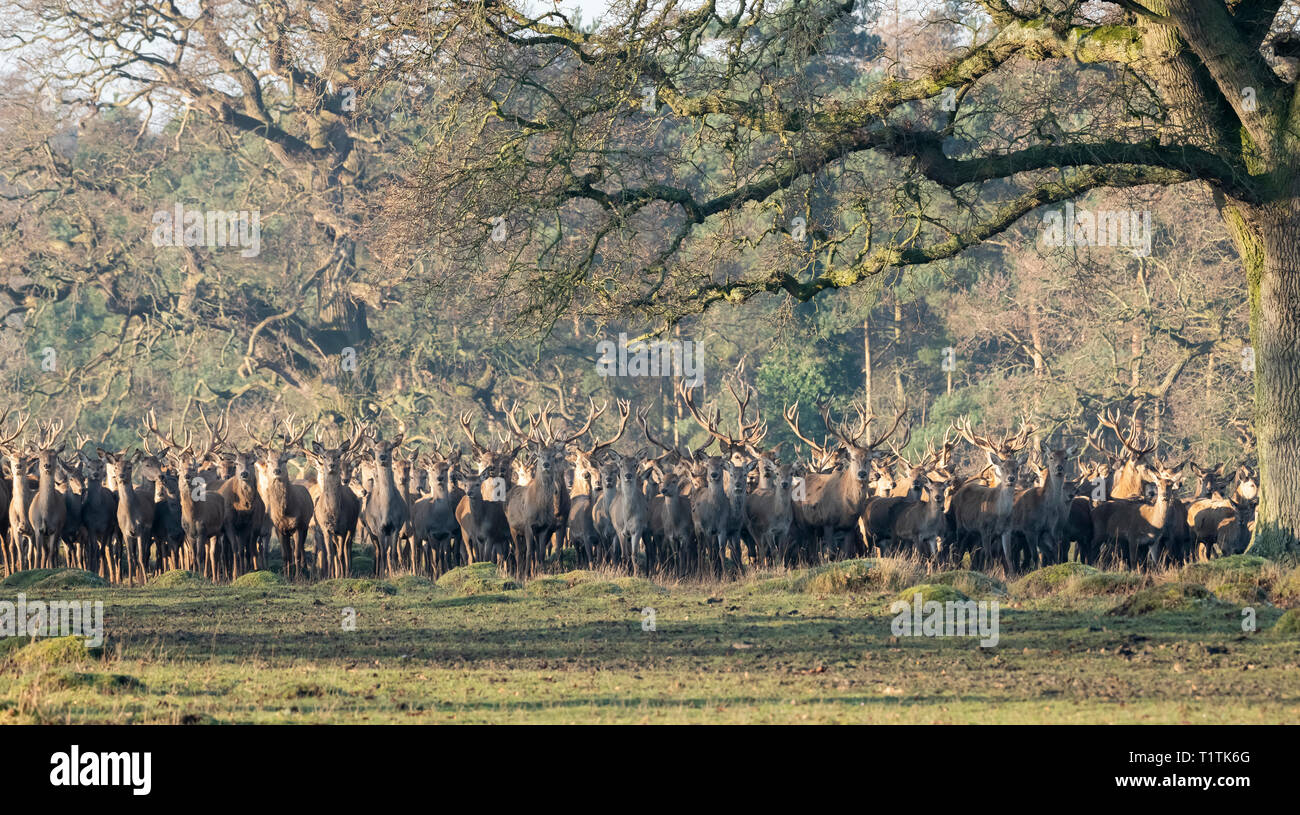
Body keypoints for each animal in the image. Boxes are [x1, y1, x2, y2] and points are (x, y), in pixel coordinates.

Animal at [950, 417, 1034, 572]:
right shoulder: (985, 531)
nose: (1011, 478)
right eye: (1000, 465)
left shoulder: (1006, 533)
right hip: (961, 528)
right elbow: (987, 558)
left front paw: (1011, 574)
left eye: (1017, 466)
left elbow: (1008, 558)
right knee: (959, 551)